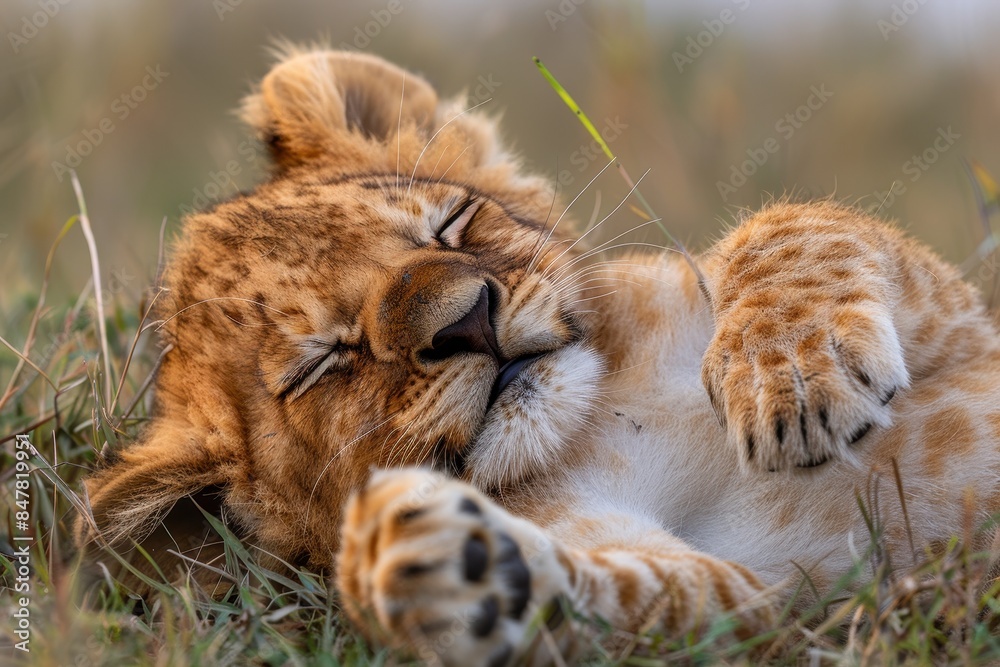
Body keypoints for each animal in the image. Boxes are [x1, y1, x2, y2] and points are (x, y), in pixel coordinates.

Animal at [75, 48, 1000, 665]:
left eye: (448, 227)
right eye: (326, 360)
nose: (469, 321)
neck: (597, 412)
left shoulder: (965, 320)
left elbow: (793, 225)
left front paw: (795, 380)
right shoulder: (769, 598)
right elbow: (642, 593)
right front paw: (449, 571)